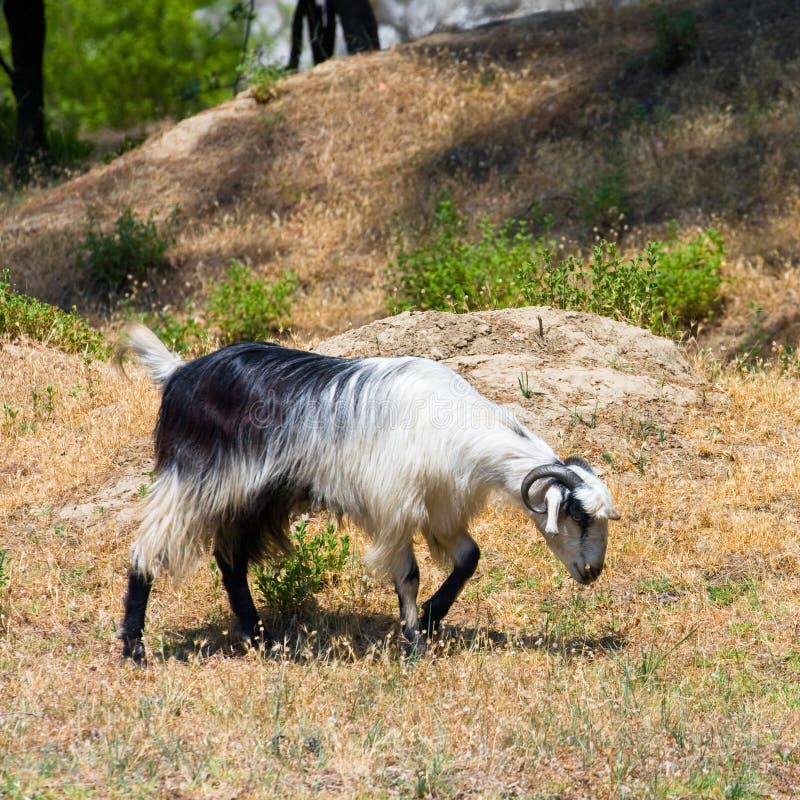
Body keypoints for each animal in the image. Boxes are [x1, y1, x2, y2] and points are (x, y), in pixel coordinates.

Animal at [117, 324, 620, 663]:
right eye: (577, 516)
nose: (592, 572)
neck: (458, 427)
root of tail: (179, 373)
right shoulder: (394, 508)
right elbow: (409, 576)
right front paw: (414, 642)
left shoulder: (439, 512)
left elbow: (468, 559)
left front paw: (432, 618)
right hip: (192, 483)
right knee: (147, 549)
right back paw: (134, 647)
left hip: (248, 499)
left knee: (231, 563)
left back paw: (263, 640)